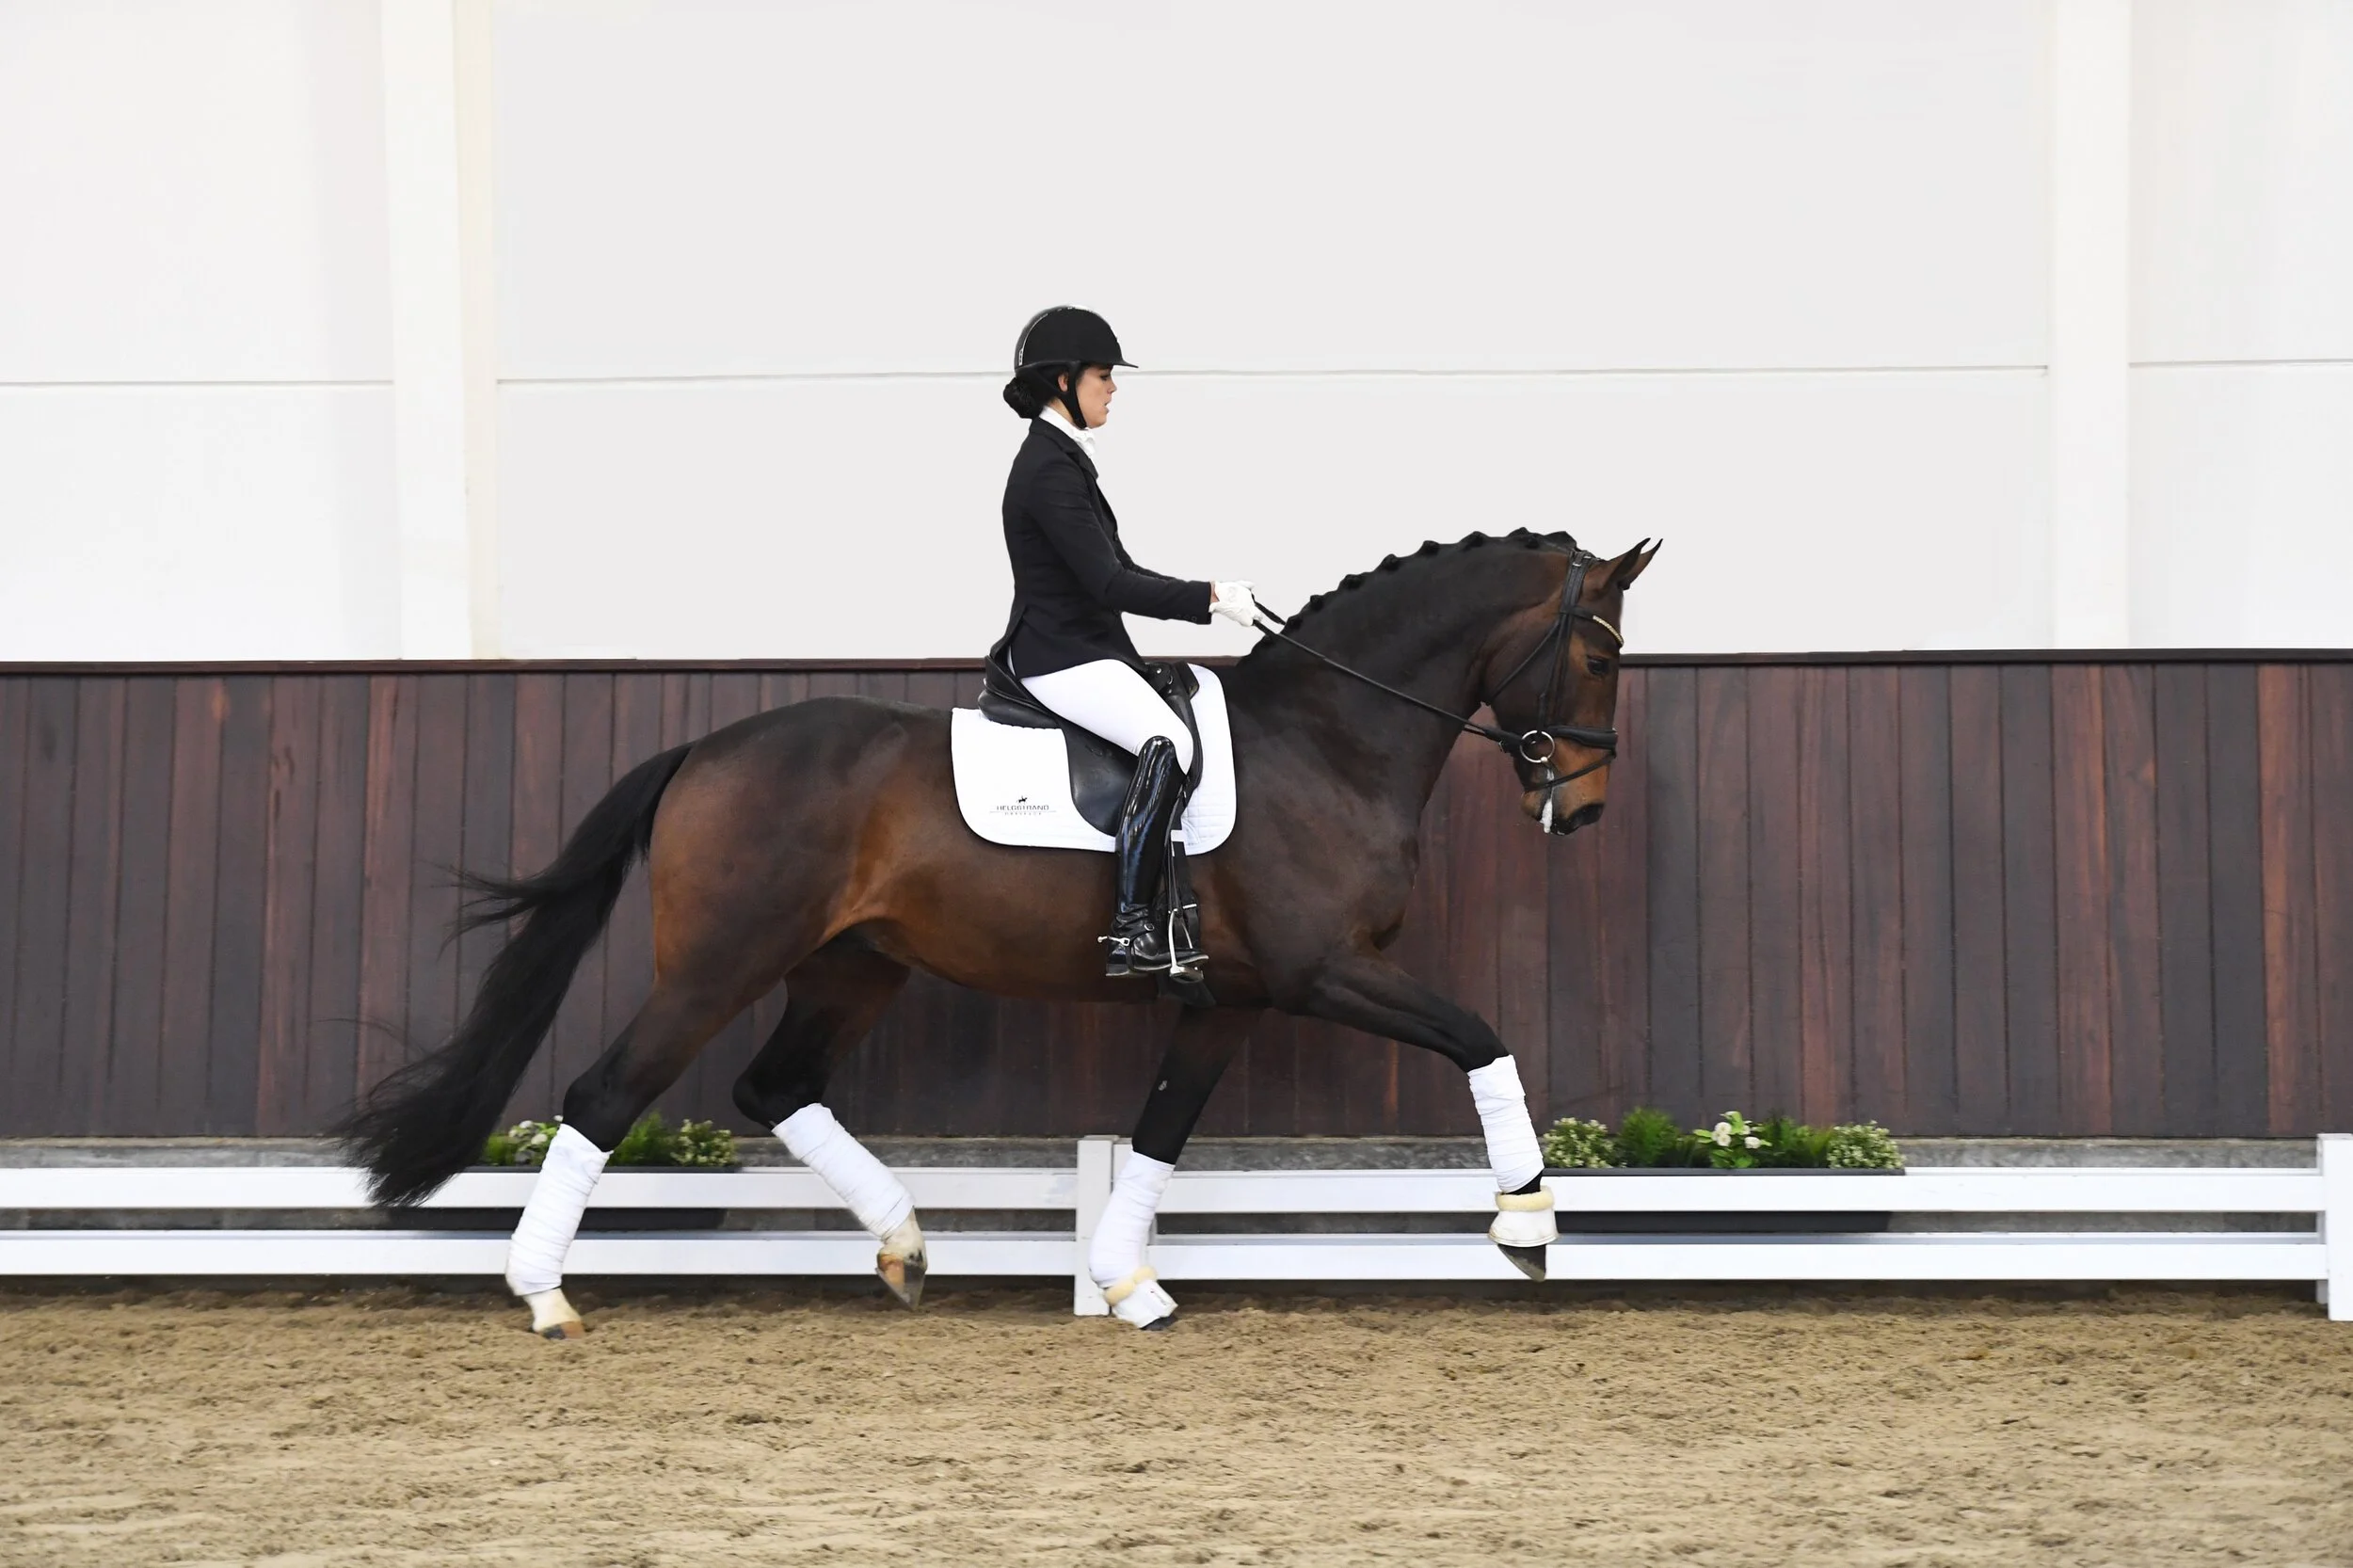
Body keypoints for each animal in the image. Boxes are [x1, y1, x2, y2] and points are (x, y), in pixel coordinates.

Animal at [338, 528, 1658, 1335]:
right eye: (1598, 656)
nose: (1586, 808)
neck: (1328, 740)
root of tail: (703, 750)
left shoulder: (1231, 995)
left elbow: (1162, 1128)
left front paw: (1124, 1282)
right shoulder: (1324, 970)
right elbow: (1482, 1037)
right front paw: (1526, 1221)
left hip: (850, 967)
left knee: (774, 1087)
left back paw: (906, 1244)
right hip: (721, 963)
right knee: (607, 1093)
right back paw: (543, 1294)